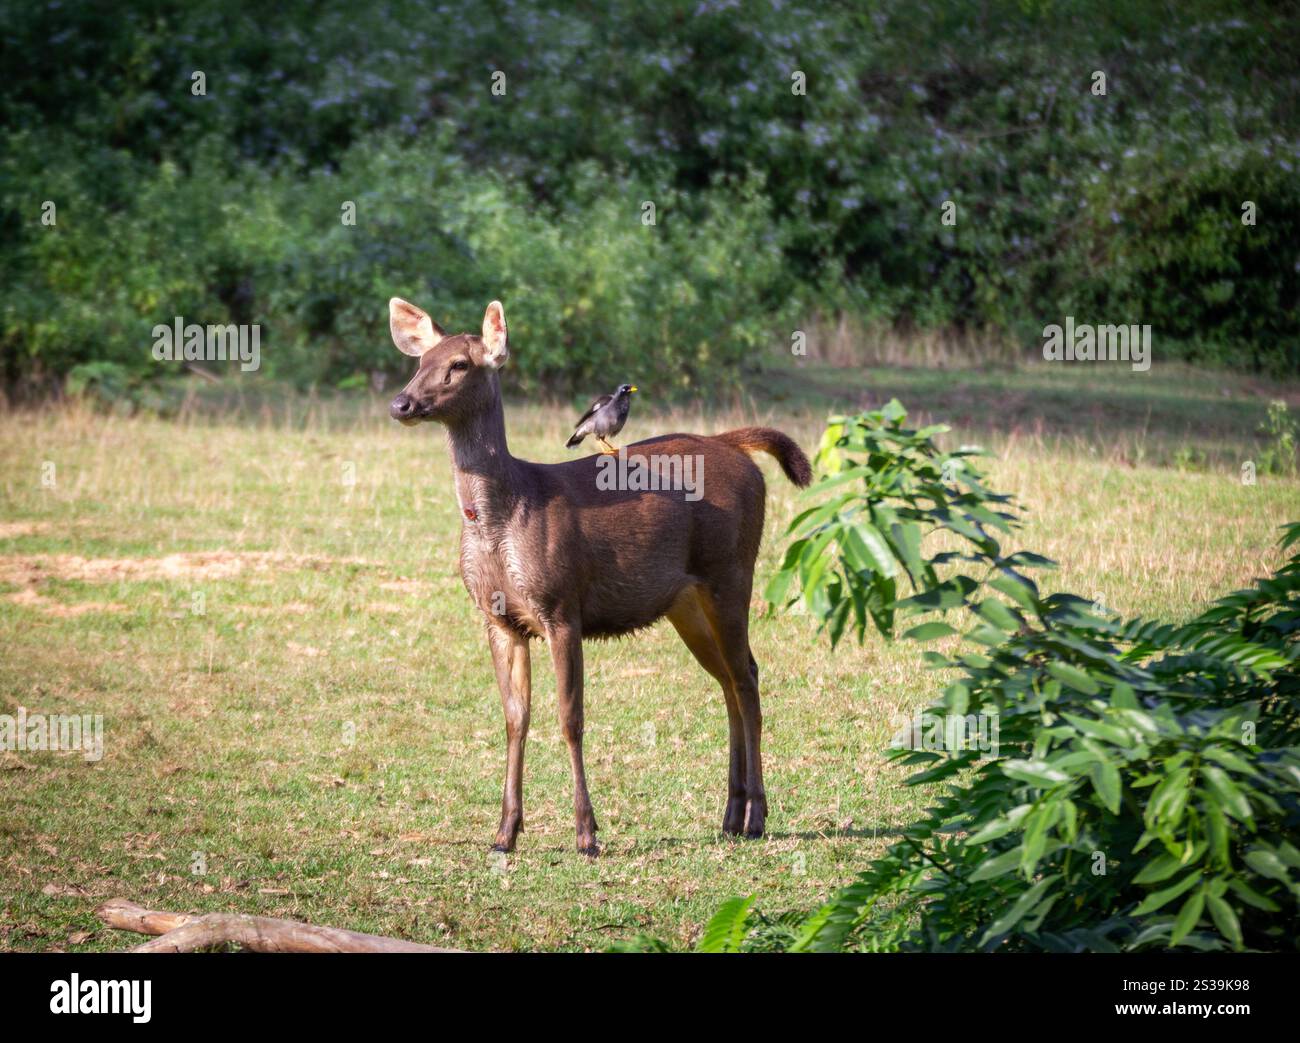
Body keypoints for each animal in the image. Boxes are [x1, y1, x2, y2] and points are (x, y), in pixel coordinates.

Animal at [387, 297, 812, 856]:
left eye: (459, 364)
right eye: (421, 362)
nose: (401, 404)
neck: (507, 513)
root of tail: (738, 448)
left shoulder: (561, 605)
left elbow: (571, 719)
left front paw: (587, 833)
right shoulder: (498, 619)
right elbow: (514, 718)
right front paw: (504, 833)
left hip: (732, 570)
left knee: (746, 679)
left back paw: (757, 817)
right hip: (687, 603)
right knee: (730, 677)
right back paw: (730, 815)